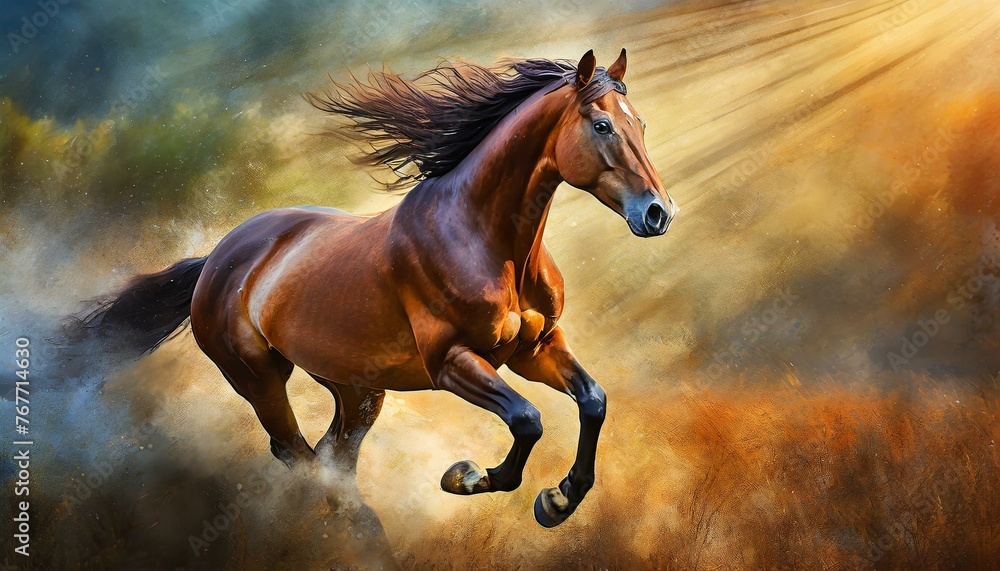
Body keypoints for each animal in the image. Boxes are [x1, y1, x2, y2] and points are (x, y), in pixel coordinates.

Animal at [86, 48, 676, 527]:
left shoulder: (533, 349)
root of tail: (217, 258)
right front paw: (467, 476)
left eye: (642, 124)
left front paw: (559, 499)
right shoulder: (451, 362)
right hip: (258, 378)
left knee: (333, 455)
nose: (658, 213)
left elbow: (593, 401)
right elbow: (527, 420)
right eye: (602, 126)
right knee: (299, 455)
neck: (485, 238)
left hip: (357, 388)